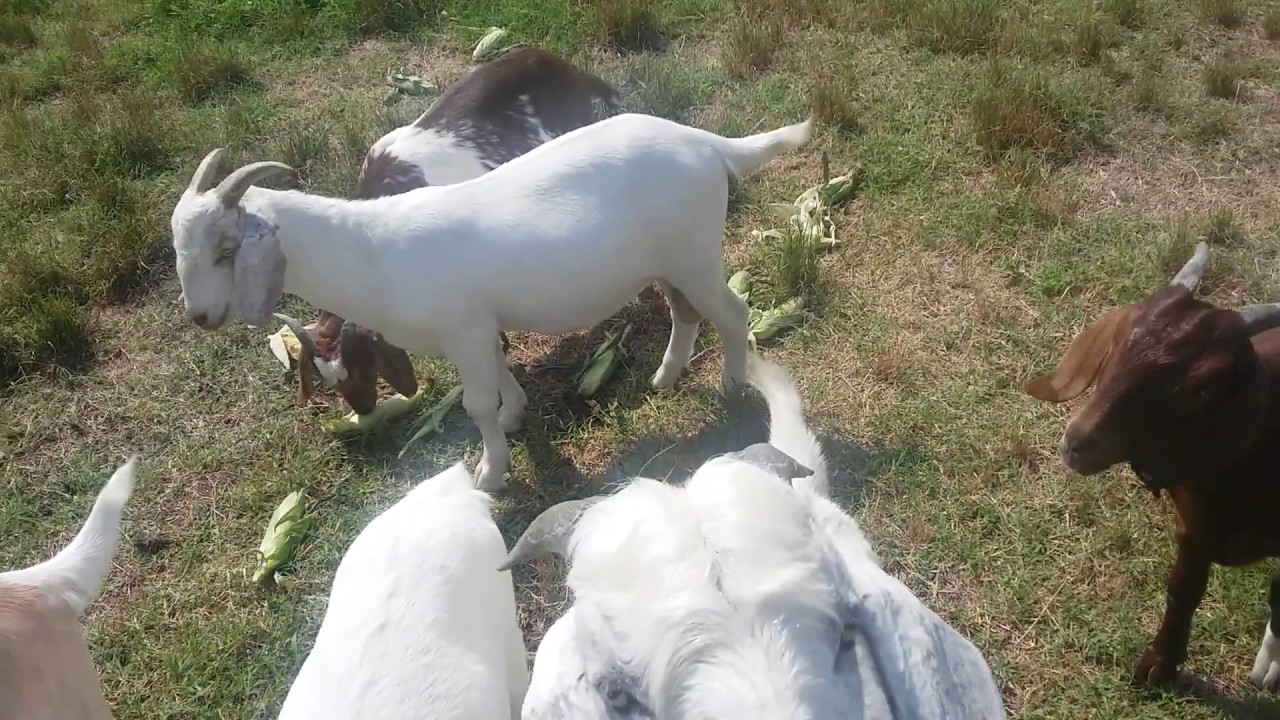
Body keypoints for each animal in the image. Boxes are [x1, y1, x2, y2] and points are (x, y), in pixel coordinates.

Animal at [171, 112, 812, 492]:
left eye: (226, 250)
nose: (199, 318)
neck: (372, 251)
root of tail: (704, 142)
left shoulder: (463, 329)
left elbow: (475, 404)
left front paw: (489, 471)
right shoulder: (477, 329)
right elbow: (501, 373)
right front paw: (514, 415)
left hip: (694, 253)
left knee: (731, 312)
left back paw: (731, 384)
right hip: (669, 261)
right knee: (686, 311)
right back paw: (666, 376)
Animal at [1023, 241, 1280, 689]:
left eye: (1202, 388)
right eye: (1117, 343)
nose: (1078, 443)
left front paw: (1268, 667)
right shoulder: (1193, 527)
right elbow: (1183, 590)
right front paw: (1159, 666)